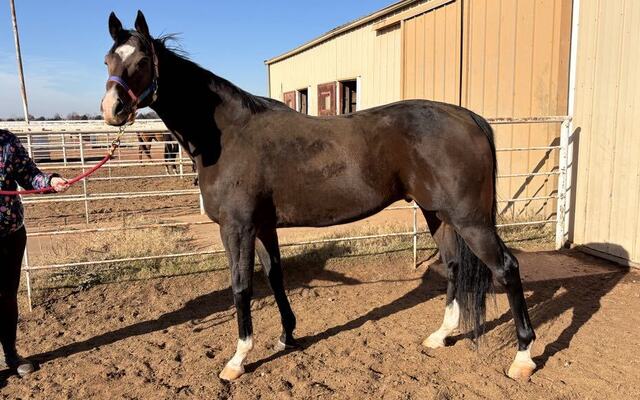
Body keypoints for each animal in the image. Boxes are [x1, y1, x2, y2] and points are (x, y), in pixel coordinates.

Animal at [101, 11, 537, 382]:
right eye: (107, 61)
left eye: (142, 59)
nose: (111, 109)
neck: (228, 135)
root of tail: (468, 117)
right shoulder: (264, 227)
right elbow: (274, 276)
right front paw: (288, 336)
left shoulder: (237, 228)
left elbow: (241, 287)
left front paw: (238, 359)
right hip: (438, 214)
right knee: (454, 266)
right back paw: (441, 335)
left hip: (470, 220)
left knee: (507, 268)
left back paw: (523, 358)